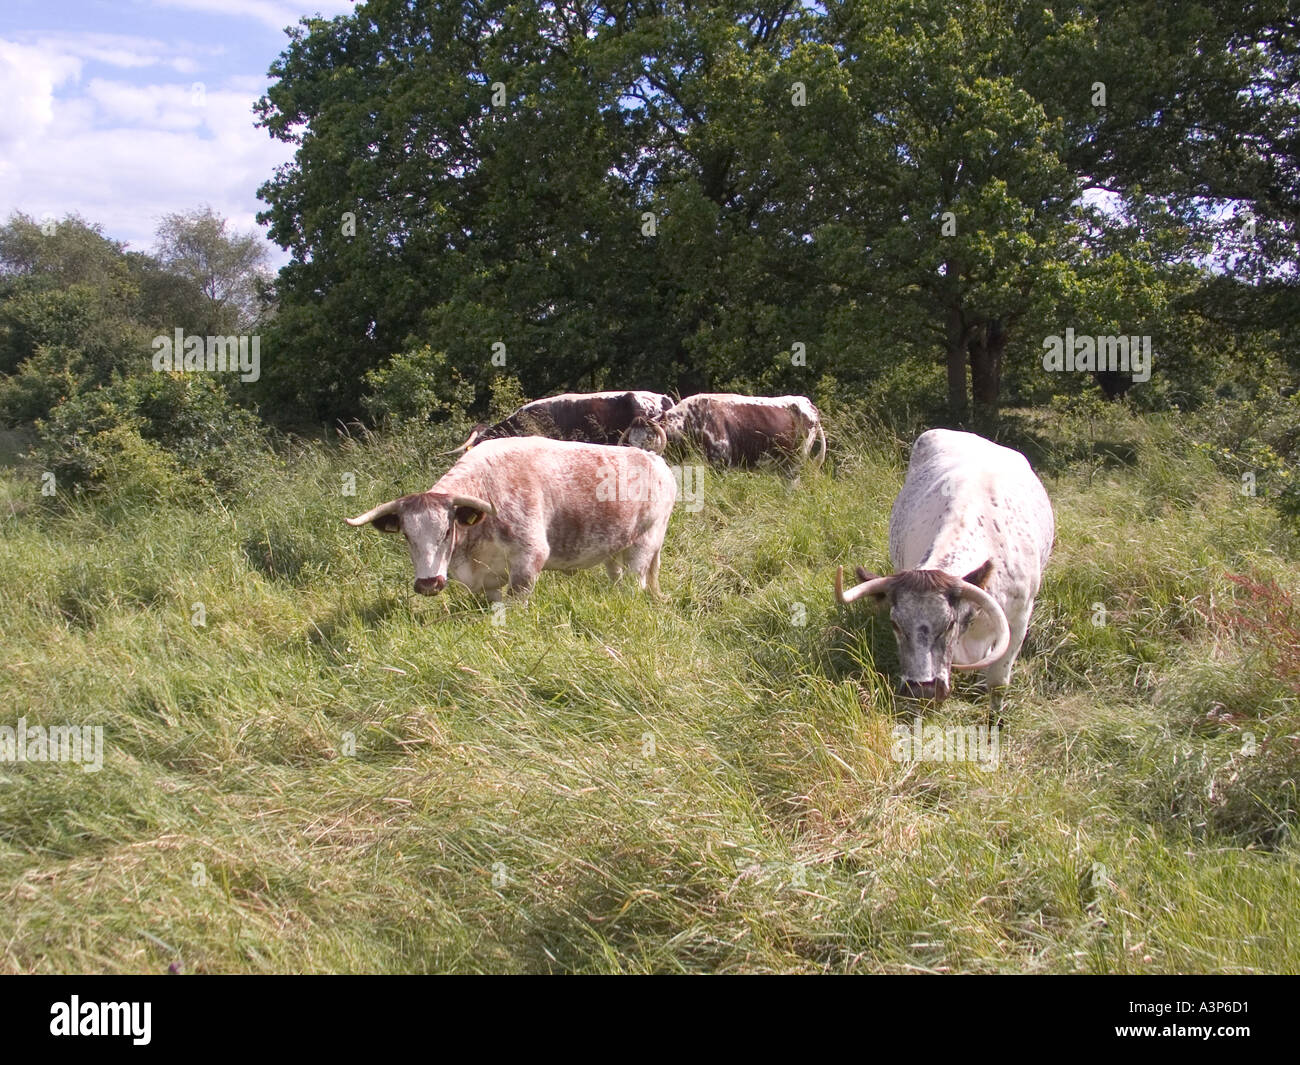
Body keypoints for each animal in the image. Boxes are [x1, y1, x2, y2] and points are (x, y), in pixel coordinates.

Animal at [347, 438, 677, 601]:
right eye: (407, 536)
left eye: (446, 531)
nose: (429, 584)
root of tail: (655, 459)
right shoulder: (484, 581)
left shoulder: (529, 560)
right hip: (615, 546)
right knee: (618, 574)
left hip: (646, 542)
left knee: (635, 582)